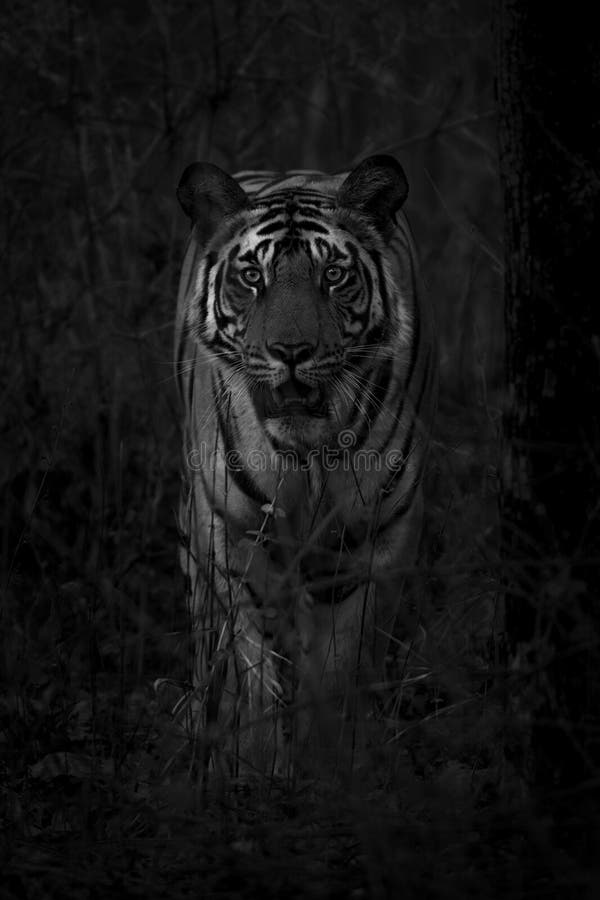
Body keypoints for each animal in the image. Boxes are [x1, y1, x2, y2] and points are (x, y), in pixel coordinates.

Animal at [174, 155, 436, 775]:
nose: (291, 351)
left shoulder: (382, 536)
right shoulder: (232, 532)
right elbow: (253, 663)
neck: (308, 455)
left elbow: (341, 662)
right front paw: (257, 765)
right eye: (252, 276)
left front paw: (333, 764)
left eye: (334, 275)